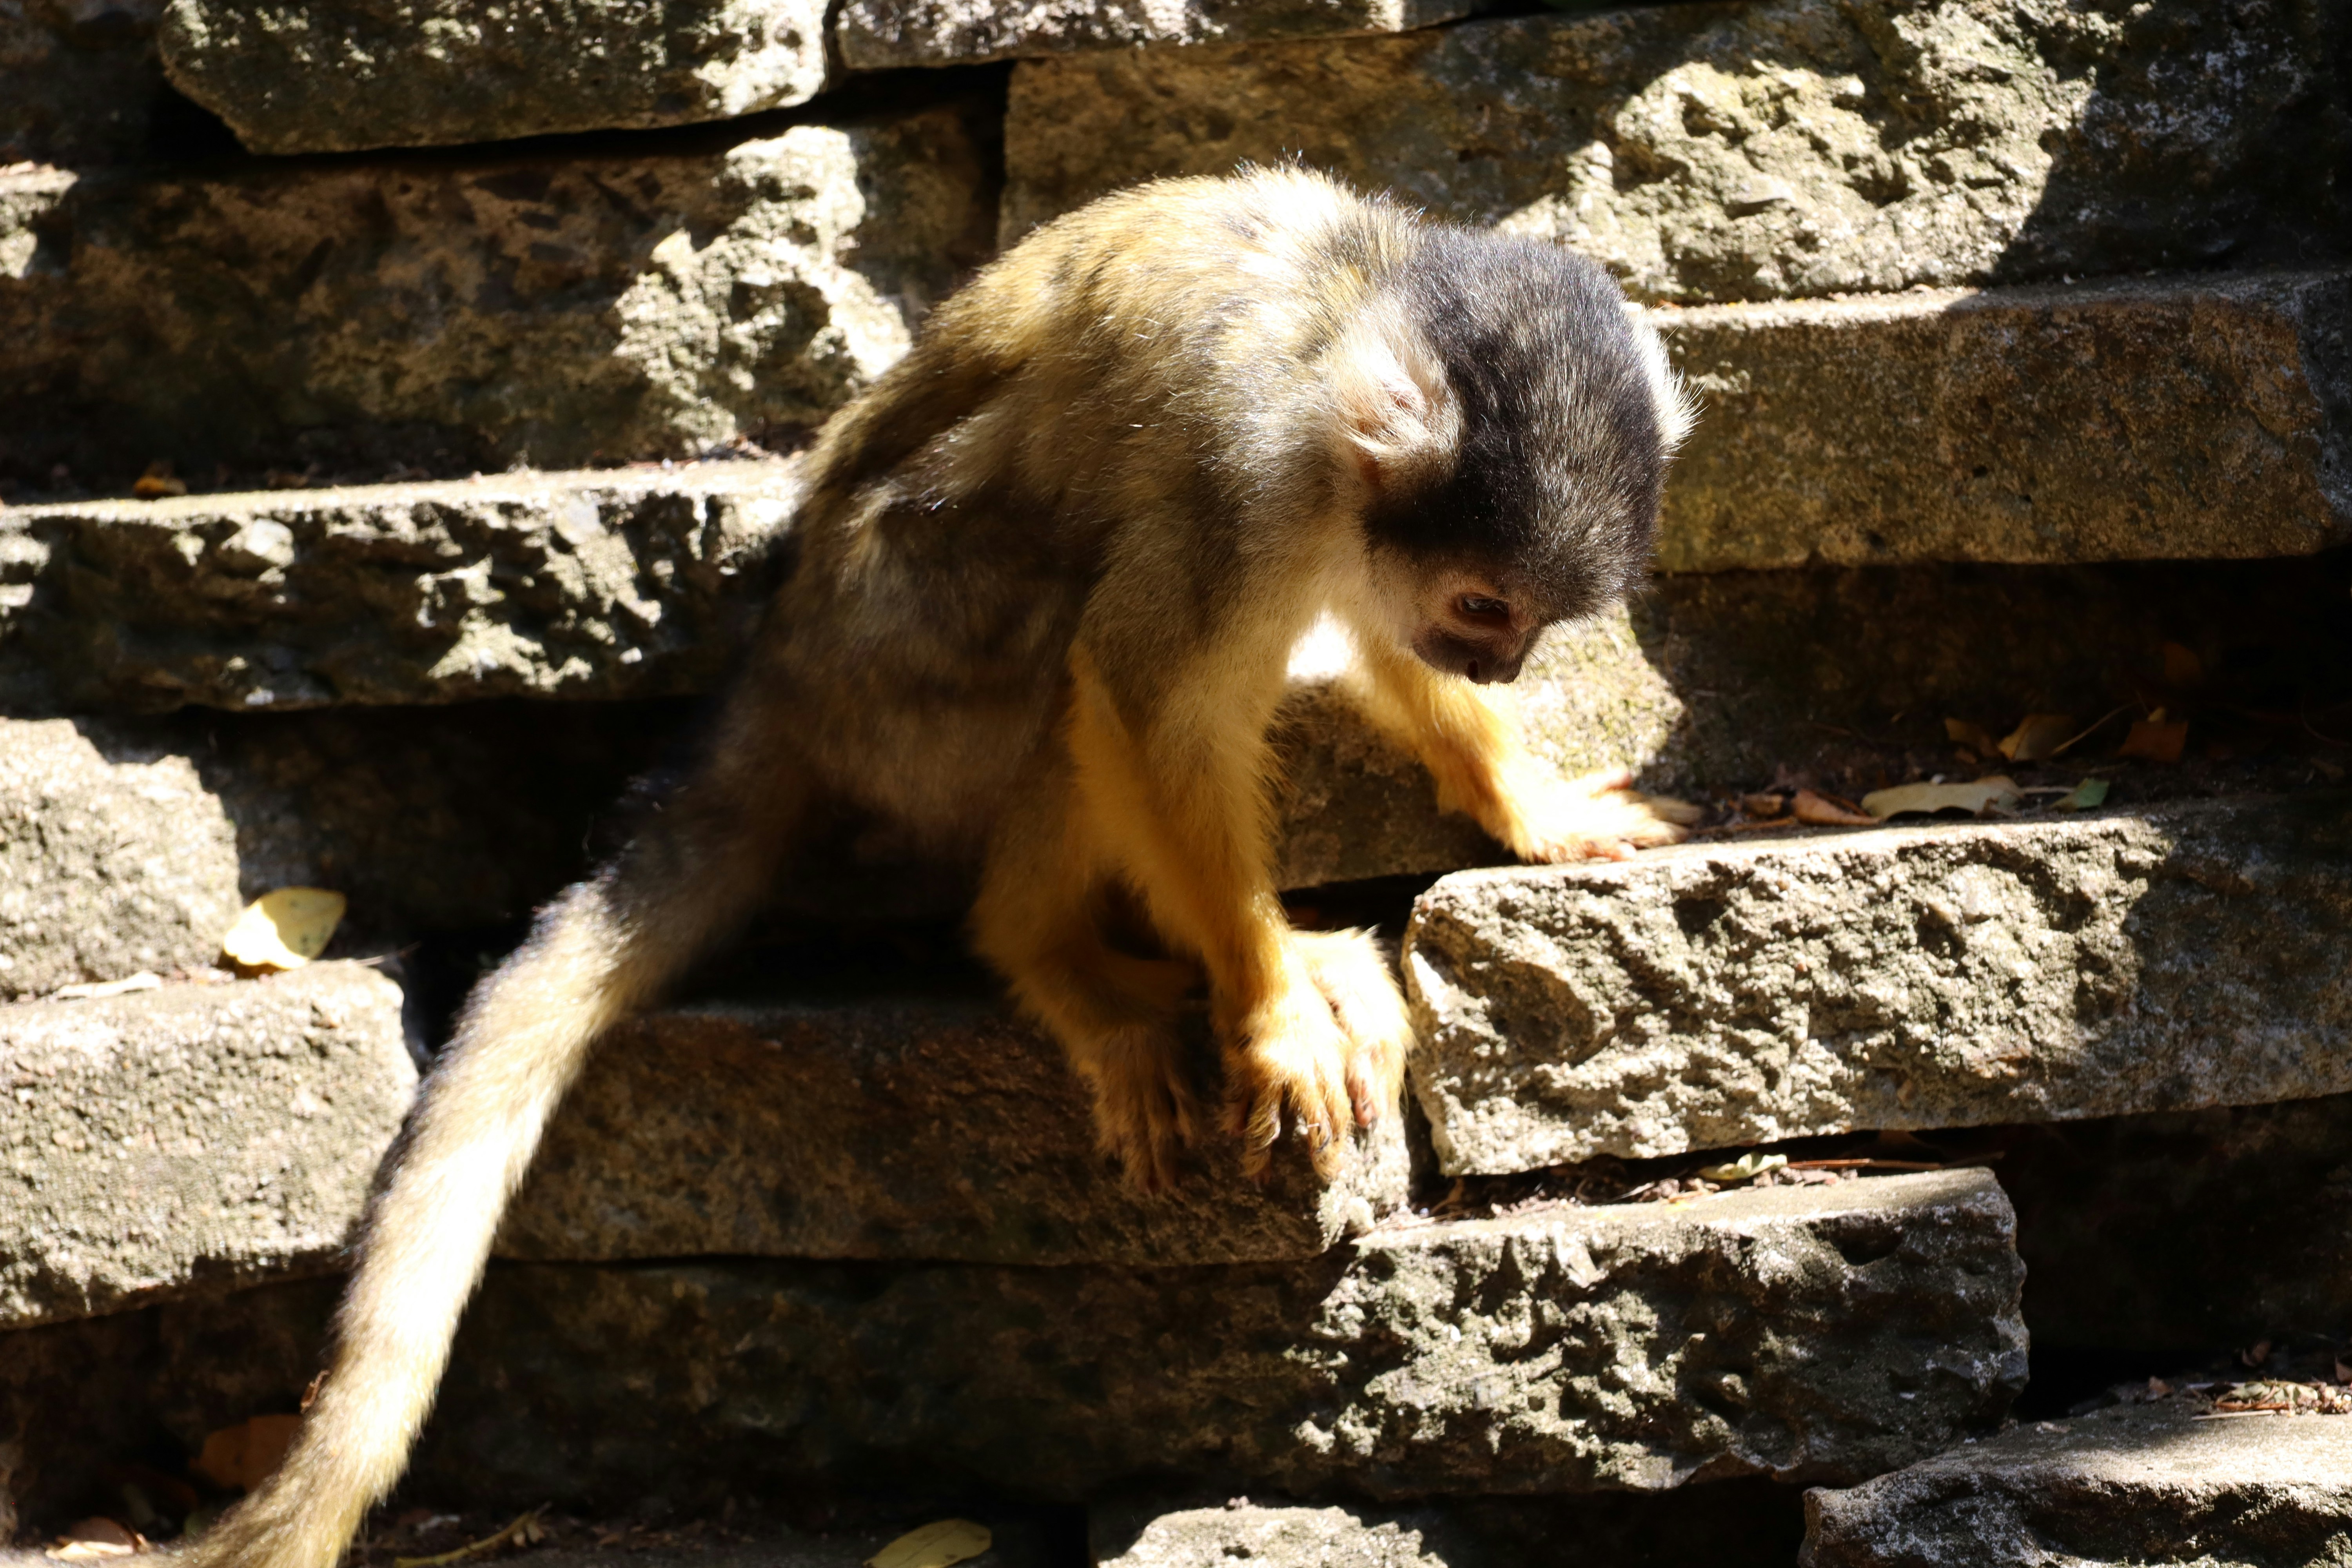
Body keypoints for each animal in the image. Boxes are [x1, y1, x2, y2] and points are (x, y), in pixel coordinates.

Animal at [176, 167, 1695, 1568]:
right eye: (1484, 606)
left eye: (1525, 627)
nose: (1496, 667)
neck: (1357, 311)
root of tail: (782, 668)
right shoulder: (1249, 479)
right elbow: (1147, 698)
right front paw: (1265, 1009)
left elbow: (1367, 647)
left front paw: (1522, 802)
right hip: (894, 651)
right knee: (1063, 629)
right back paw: (1053, 951)